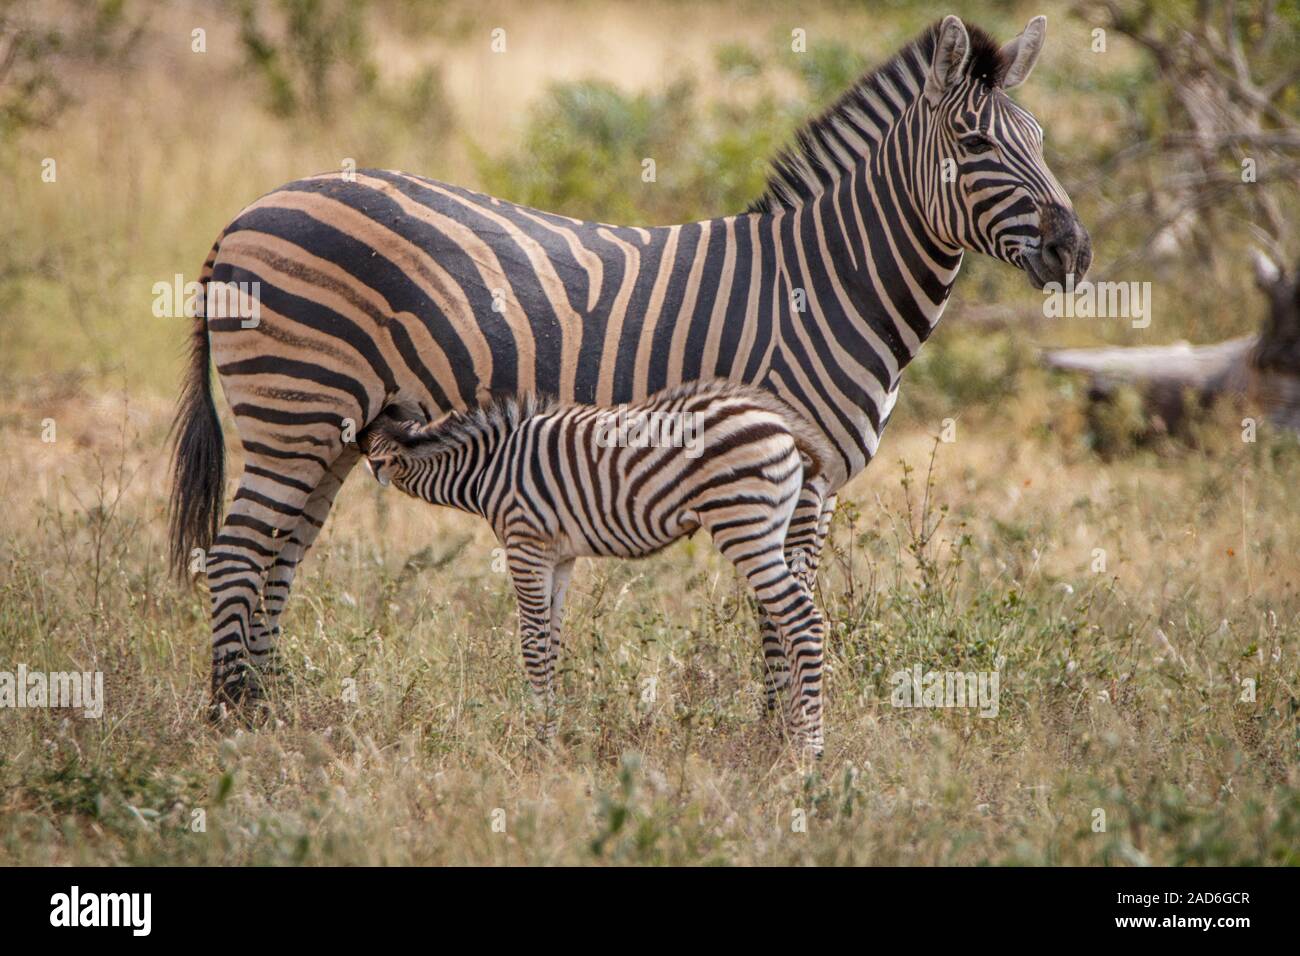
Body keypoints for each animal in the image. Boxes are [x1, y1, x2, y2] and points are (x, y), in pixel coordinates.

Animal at [169, 14, 1091, 714]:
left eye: (1042, 139)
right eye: (973, 141)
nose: (1074, 250)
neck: (825, 283)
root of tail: (247, 212)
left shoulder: (811, 480)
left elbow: (786, 606)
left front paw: (779, 730)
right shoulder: (792, 471)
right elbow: (780, 612)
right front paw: (778, 741)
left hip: (329, 430)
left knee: (279, 557)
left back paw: (272, 709)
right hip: (292, 410)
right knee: (238, 555)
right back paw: (232, 722)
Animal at [359, 380, 835, 753]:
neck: (487, 466)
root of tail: (781, 422)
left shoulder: (524, 543)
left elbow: (532, 644)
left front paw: (540, 738)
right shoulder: (559, 555)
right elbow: (550, 641)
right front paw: (551, 727)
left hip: (743, 524)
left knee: (802, 620)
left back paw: (809, 748)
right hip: (775, 529)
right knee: (788, 621)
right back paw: (791, 734)